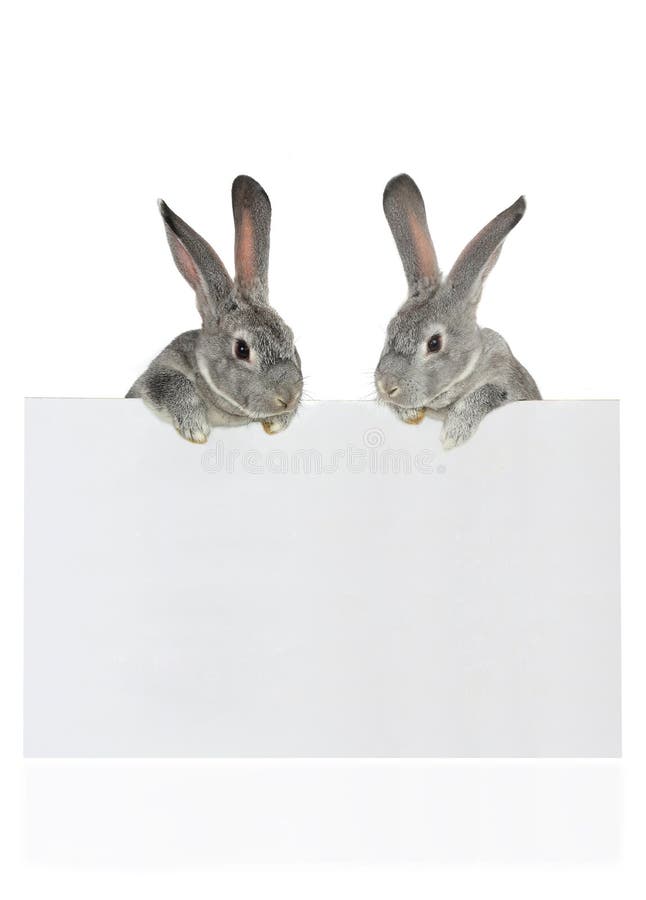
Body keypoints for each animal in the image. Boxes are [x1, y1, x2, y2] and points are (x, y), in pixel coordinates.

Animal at [127, 175, 303, 443]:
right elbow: (169, 383)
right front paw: (196, 428)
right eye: (242, 349)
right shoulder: (155, 377)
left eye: (291, 339)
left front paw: (277, 423)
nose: (289, 396)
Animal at [374, 174, 540, 449]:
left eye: (434, 343)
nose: (387, 386)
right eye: (390, 331)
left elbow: (489, 392)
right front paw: (409, 413)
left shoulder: (511, 384)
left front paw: (453, 434)